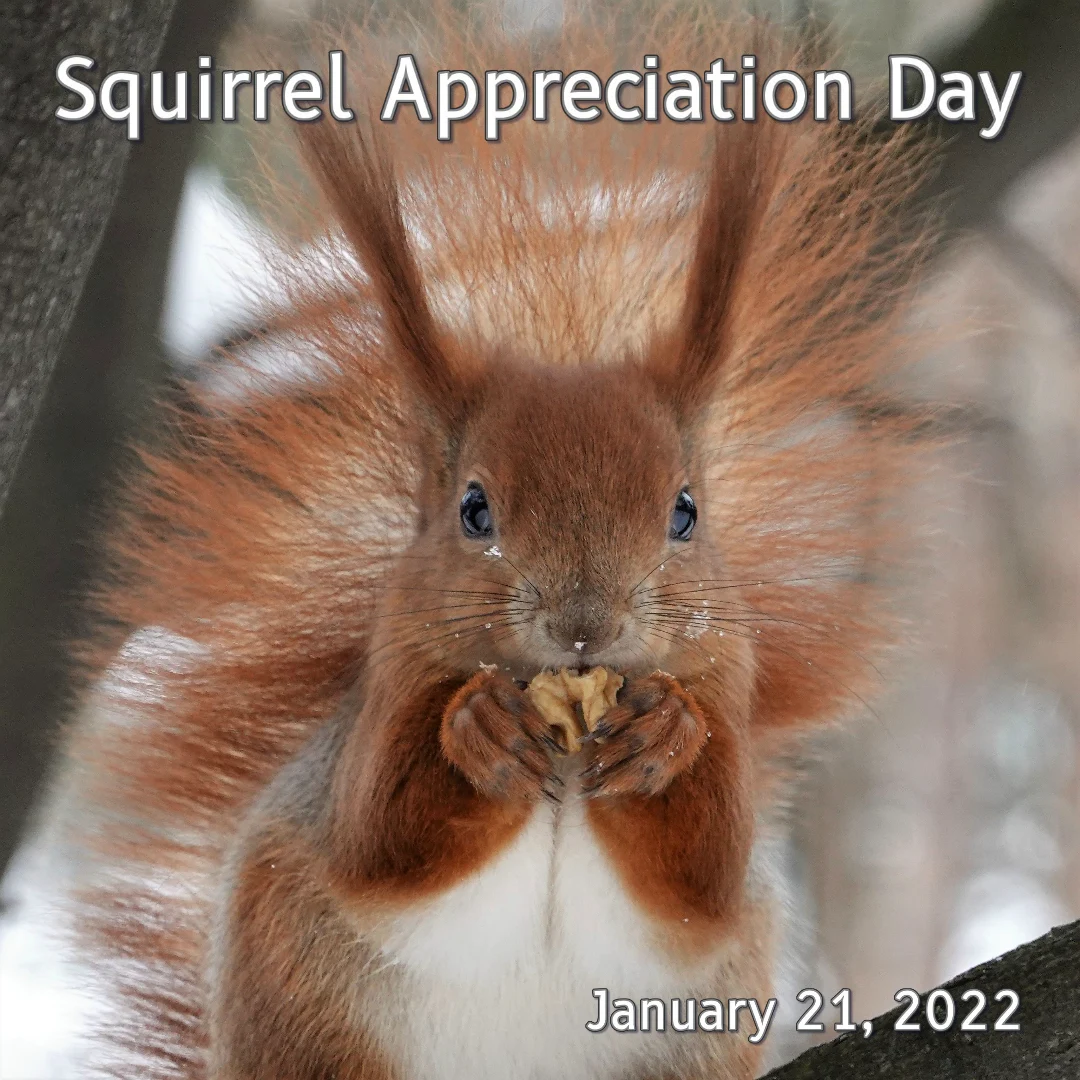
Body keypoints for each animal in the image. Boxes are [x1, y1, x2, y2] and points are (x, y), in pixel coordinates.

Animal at [59, 6, 943, 1080]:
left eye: (686, 512)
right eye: (474, 509)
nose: (584, 625)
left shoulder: (733, 685)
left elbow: (706, 871)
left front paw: (667, 733)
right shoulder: (381, 694)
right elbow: (382, 831)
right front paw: (476, 729)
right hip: (302, 1002)